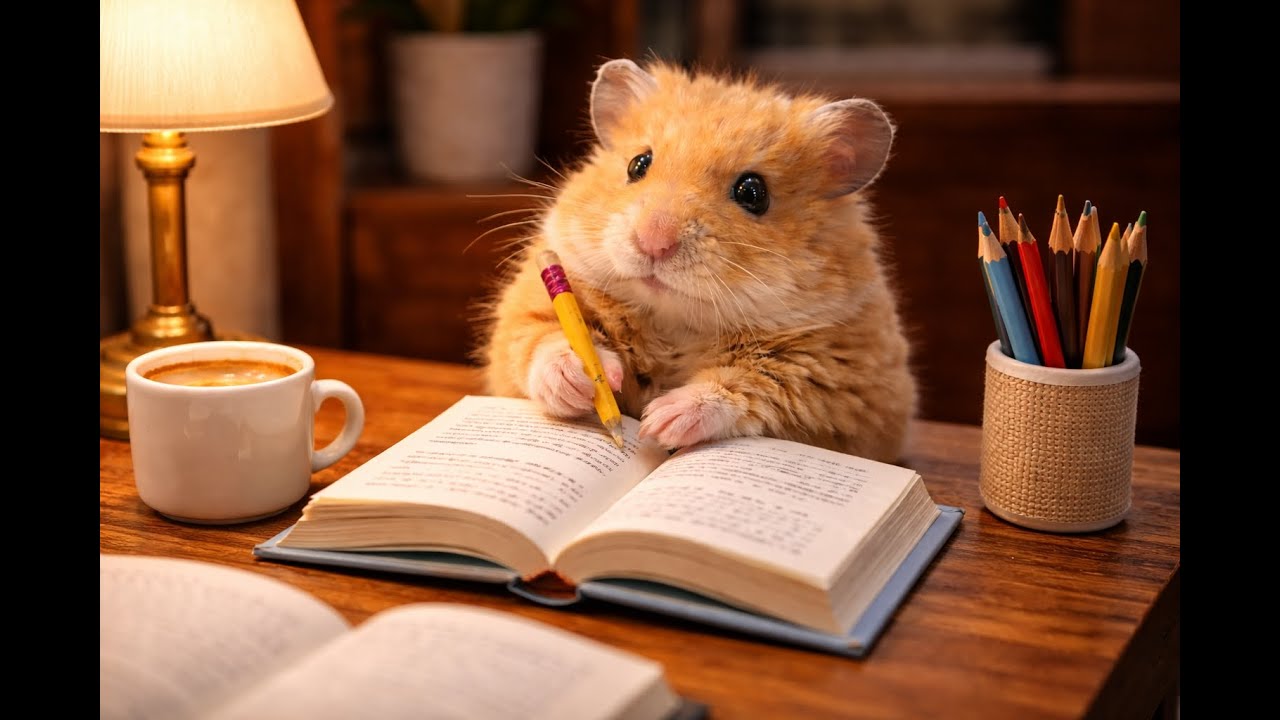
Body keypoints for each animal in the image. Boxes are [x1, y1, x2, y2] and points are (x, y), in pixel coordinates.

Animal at [475, 58, 916, 464]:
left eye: (753, 192)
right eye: (638, 164)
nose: (653, 242)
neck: (676, 321)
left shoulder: (841, 385)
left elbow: (750, 387)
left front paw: (657, 423)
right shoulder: (530, 304)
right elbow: (541, 339)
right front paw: (591, 380)